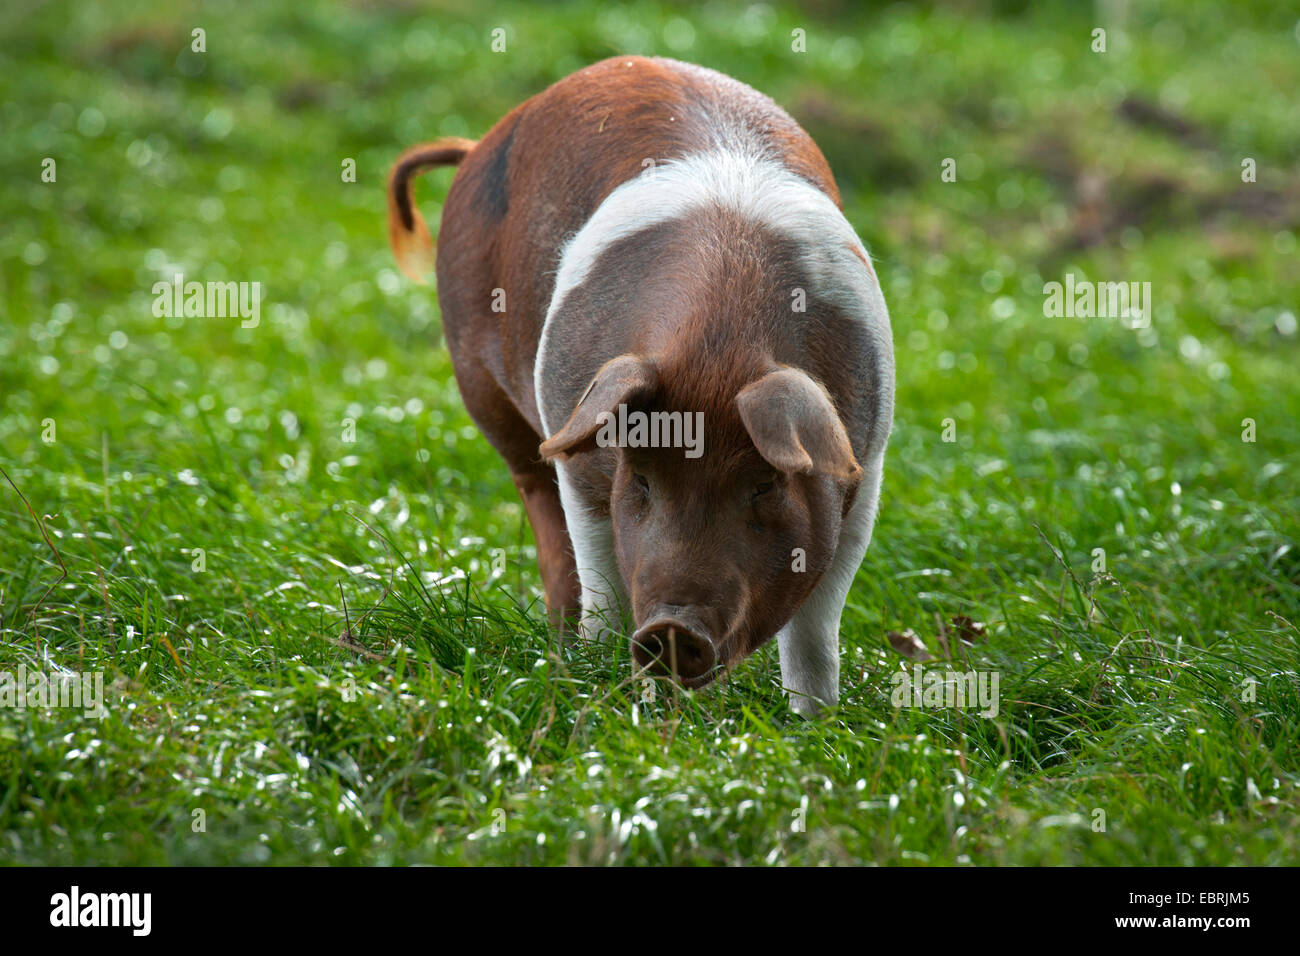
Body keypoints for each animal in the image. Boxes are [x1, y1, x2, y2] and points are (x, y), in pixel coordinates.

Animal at [387, 56, 893, 715]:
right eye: (644, 480)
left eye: (764, 485)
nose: (673, 630)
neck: (719, 342)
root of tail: (478, 144)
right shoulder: (580, 445)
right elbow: (602, 580)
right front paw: (625, 699)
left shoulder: (866, 465)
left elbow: (816, 629)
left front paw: (816, 723)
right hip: (487, 393)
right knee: (542, 513)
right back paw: (562, 649)